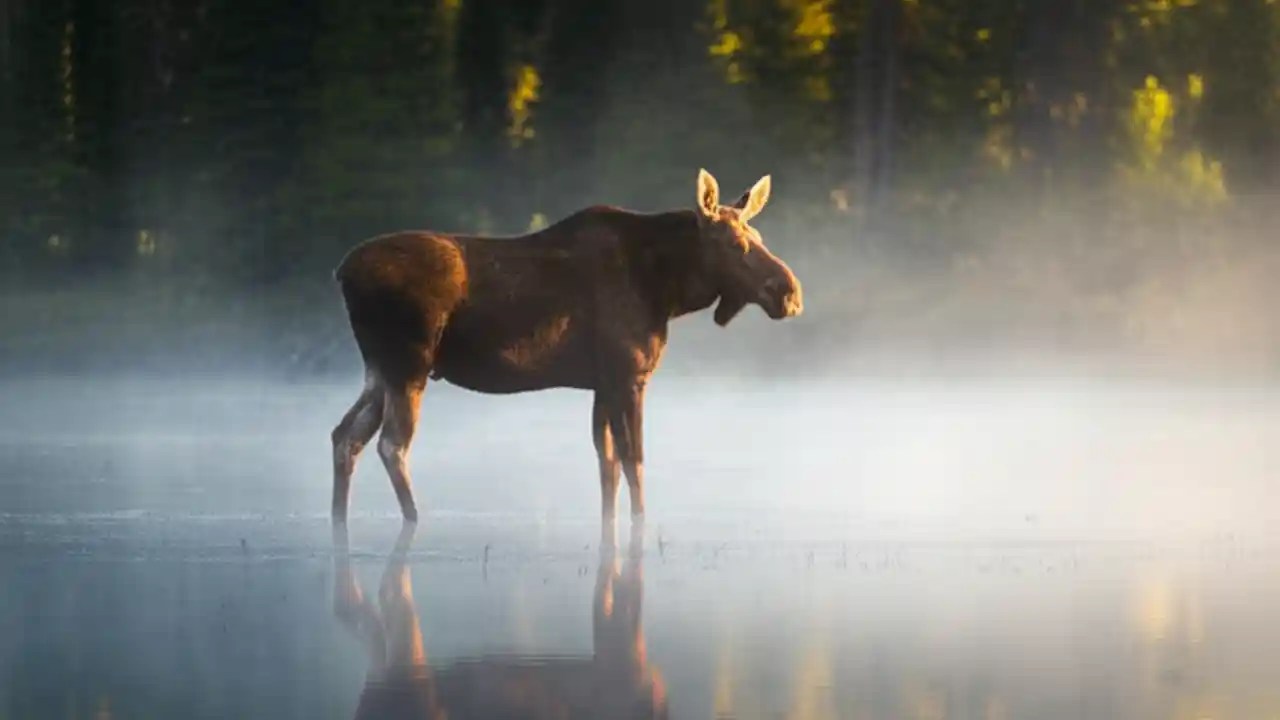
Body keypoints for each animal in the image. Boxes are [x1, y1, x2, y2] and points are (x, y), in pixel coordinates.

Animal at [330, 169, 803, 537]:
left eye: (758, 235)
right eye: (736, 245)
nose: (790, 293)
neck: (668, 290)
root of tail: (341, 272)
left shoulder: (603, 382)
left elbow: (607, 465)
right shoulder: (629, 376)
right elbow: (634, 462)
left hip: (379, 370)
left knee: (345, 436)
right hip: (409, 364)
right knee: (392, 445)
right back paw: (415, 519)